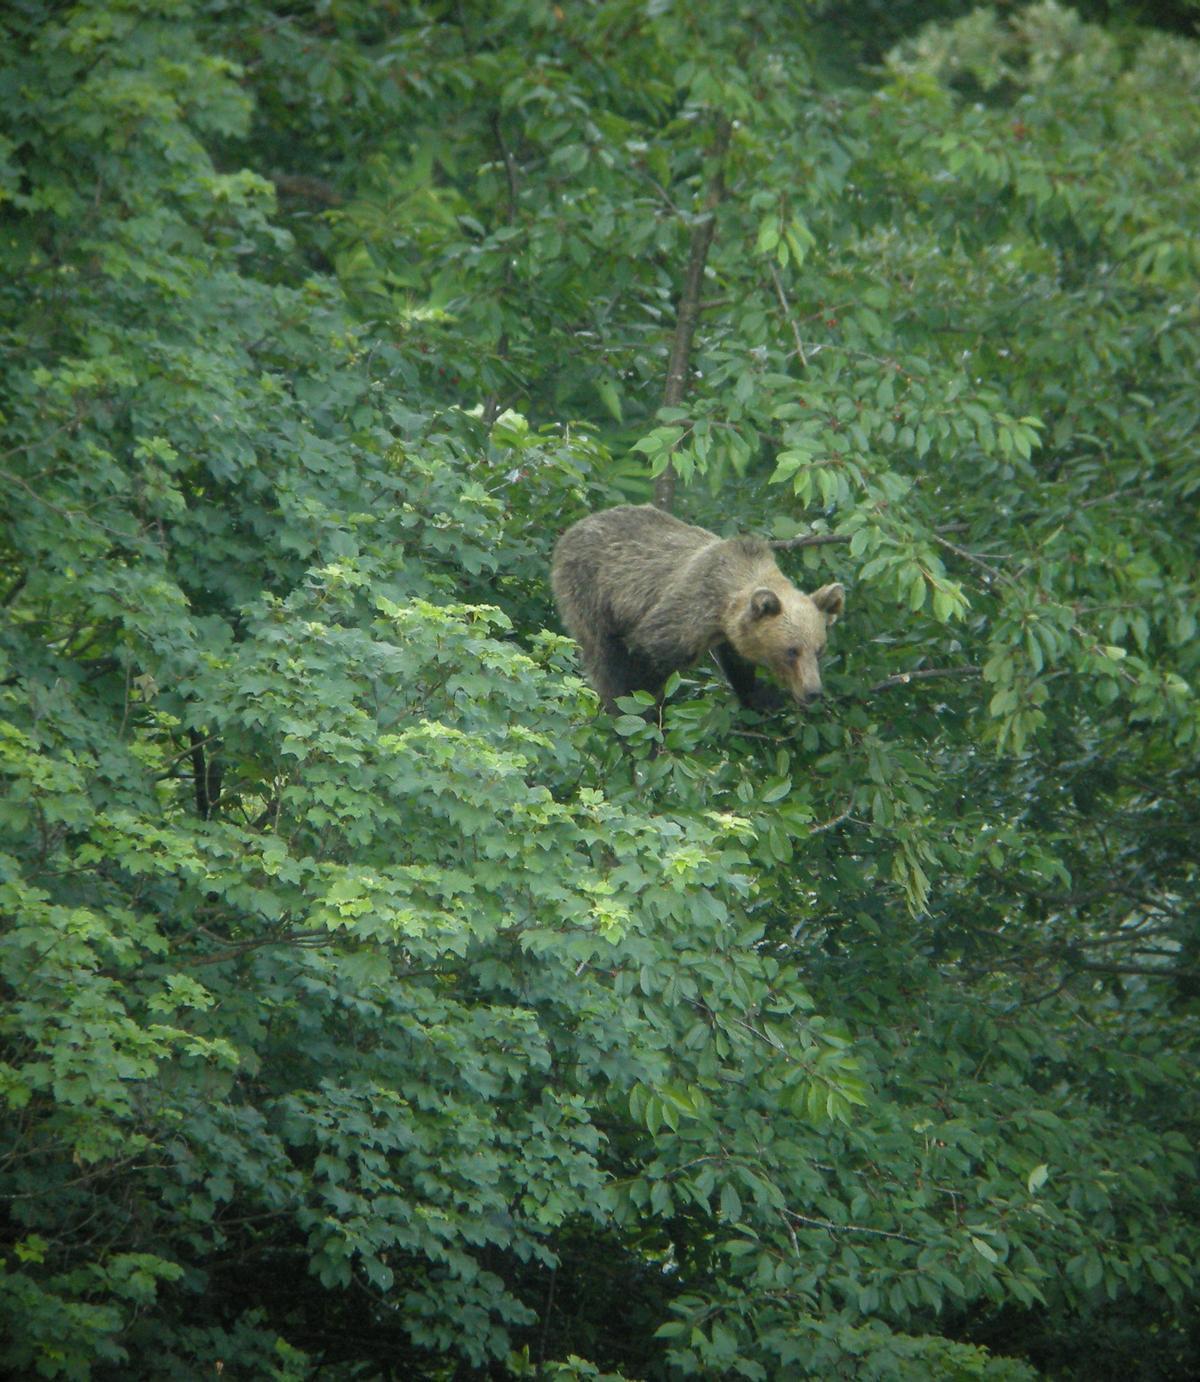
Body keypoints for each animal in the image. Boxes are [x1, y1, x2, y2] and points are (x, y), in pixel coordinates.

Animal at [551, 504, 844, 713]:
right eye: (791, 651)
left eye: (819, 650)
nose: (813, 692)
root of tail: (574, 529)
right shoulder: (684, 614)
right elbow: (643, 658)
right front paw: (640, 711)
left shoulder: (728, 630)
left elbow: (736, 661)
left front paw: (761, 696)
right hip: (589, 590)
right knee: (603, 653)